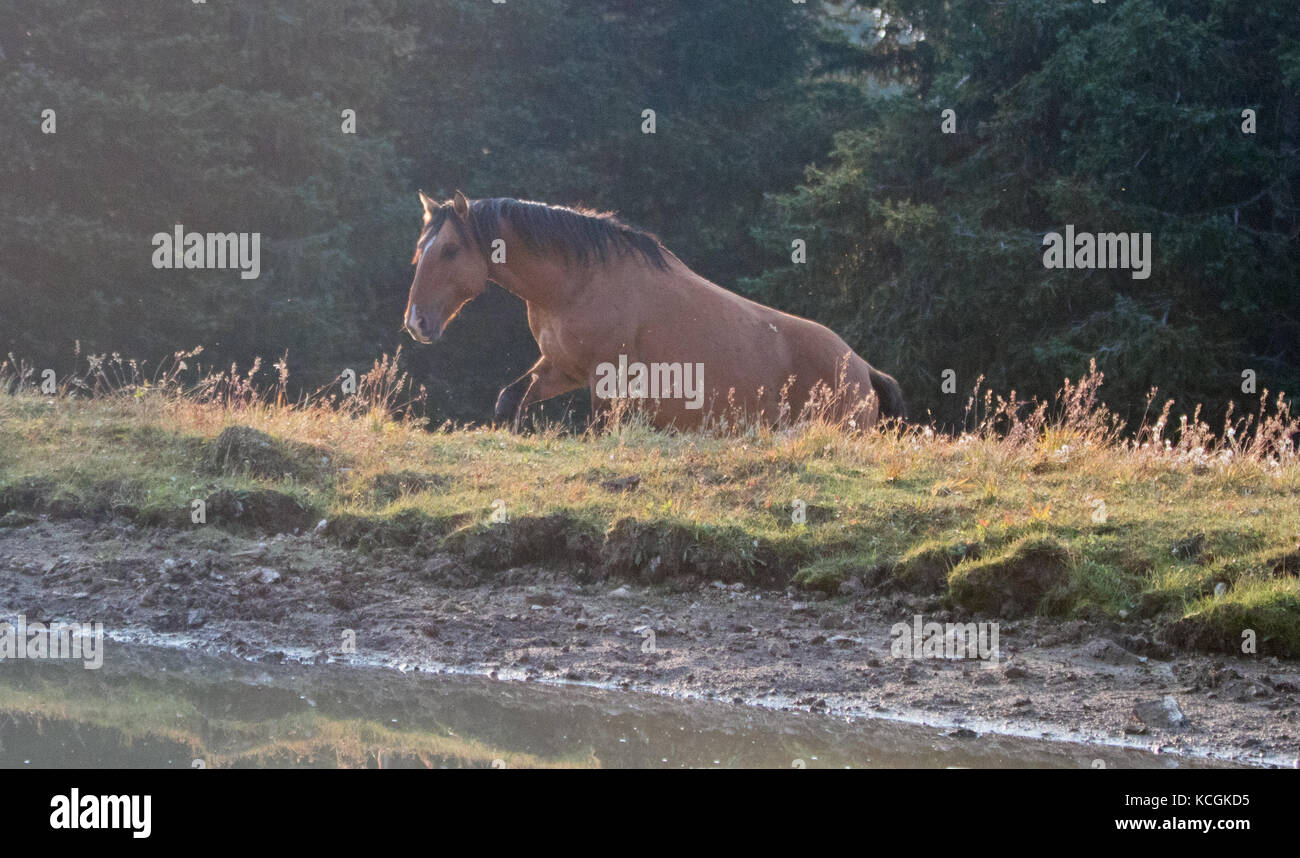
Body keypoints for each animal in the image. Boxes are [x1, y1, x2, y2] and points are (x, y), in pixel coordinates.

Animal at [403, 191, 904, 431]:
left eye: (449, 250)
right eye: (420, 247)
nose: (416, 323)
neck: (578, 282)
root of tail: (864, 370)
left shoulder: (605, 380)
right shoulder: (562, 368)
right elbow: (509, 399)